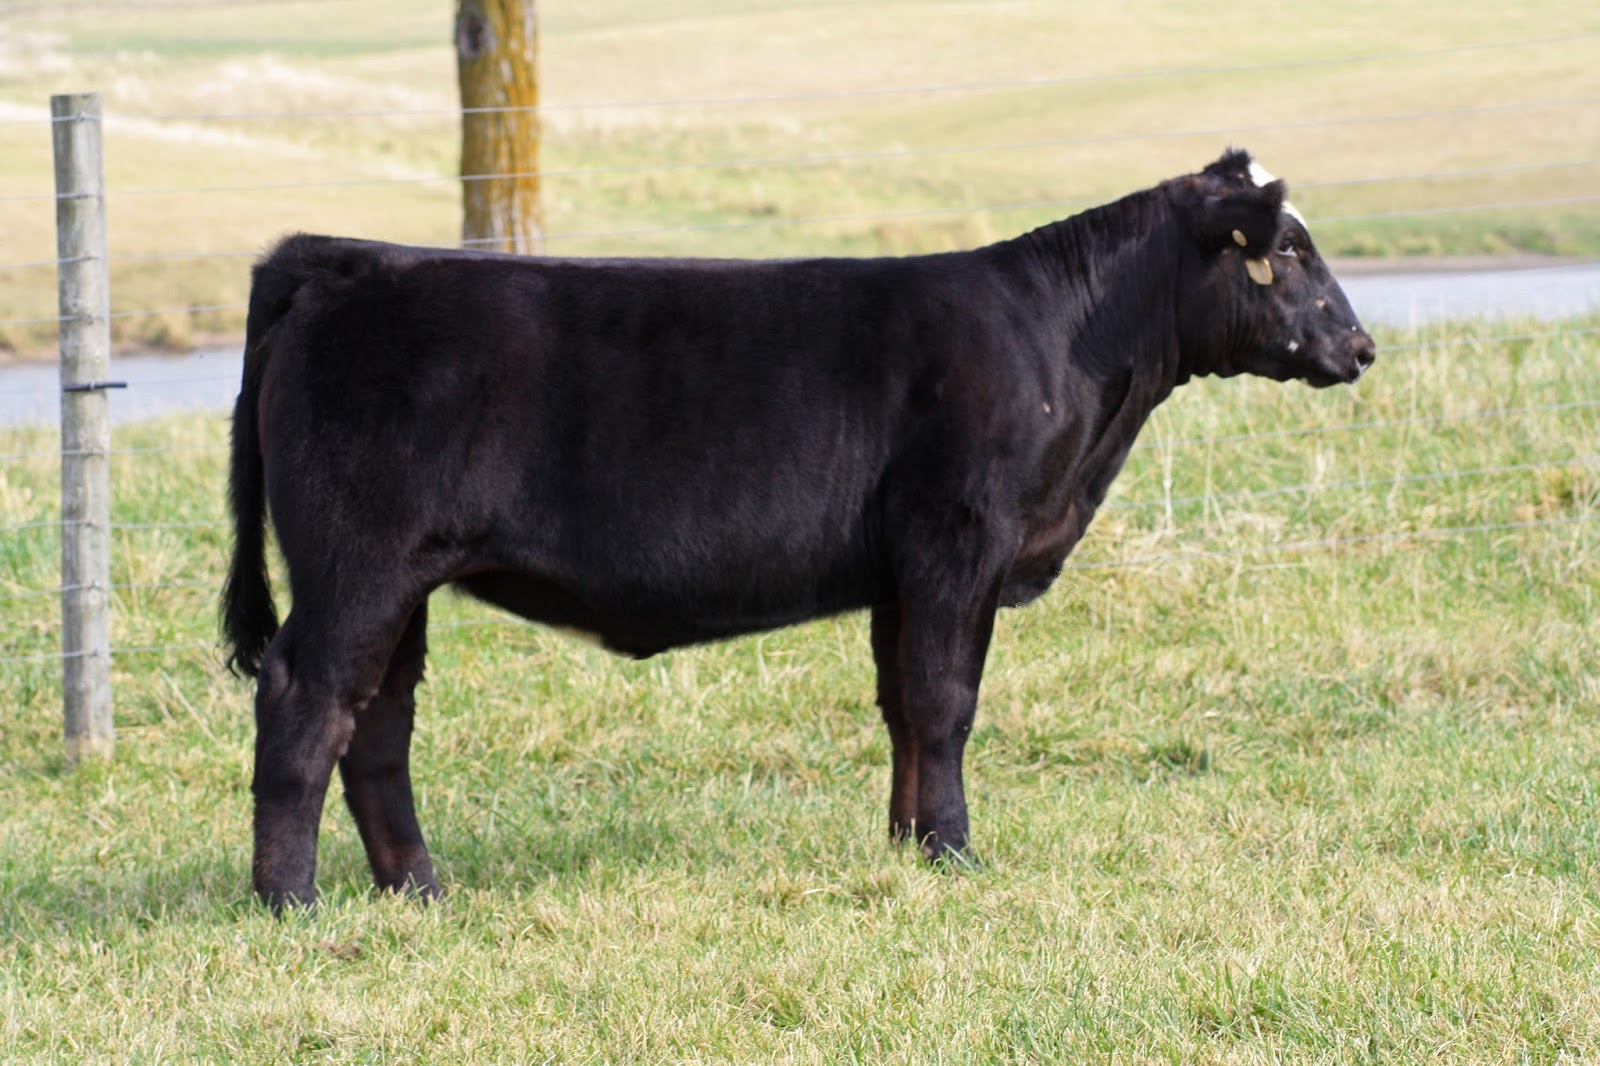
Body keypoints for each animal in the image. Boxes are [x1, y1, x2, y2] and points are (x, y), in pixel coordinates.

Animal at [222, 149, 1375, 910]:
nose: (1361, 346)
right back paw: (291, 901)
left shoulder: (902, 570)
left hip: (399, 580)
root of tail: (336, 260)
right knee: (306, 702)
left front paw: (910, 843)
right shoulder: (960, 538)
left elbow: (904, 707)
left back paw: (416, 888)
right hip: (355, 567)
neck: (1071, 354)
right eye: (1288, 249)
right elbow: (946, 703)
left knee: (377, 722)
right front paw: (955, 852)